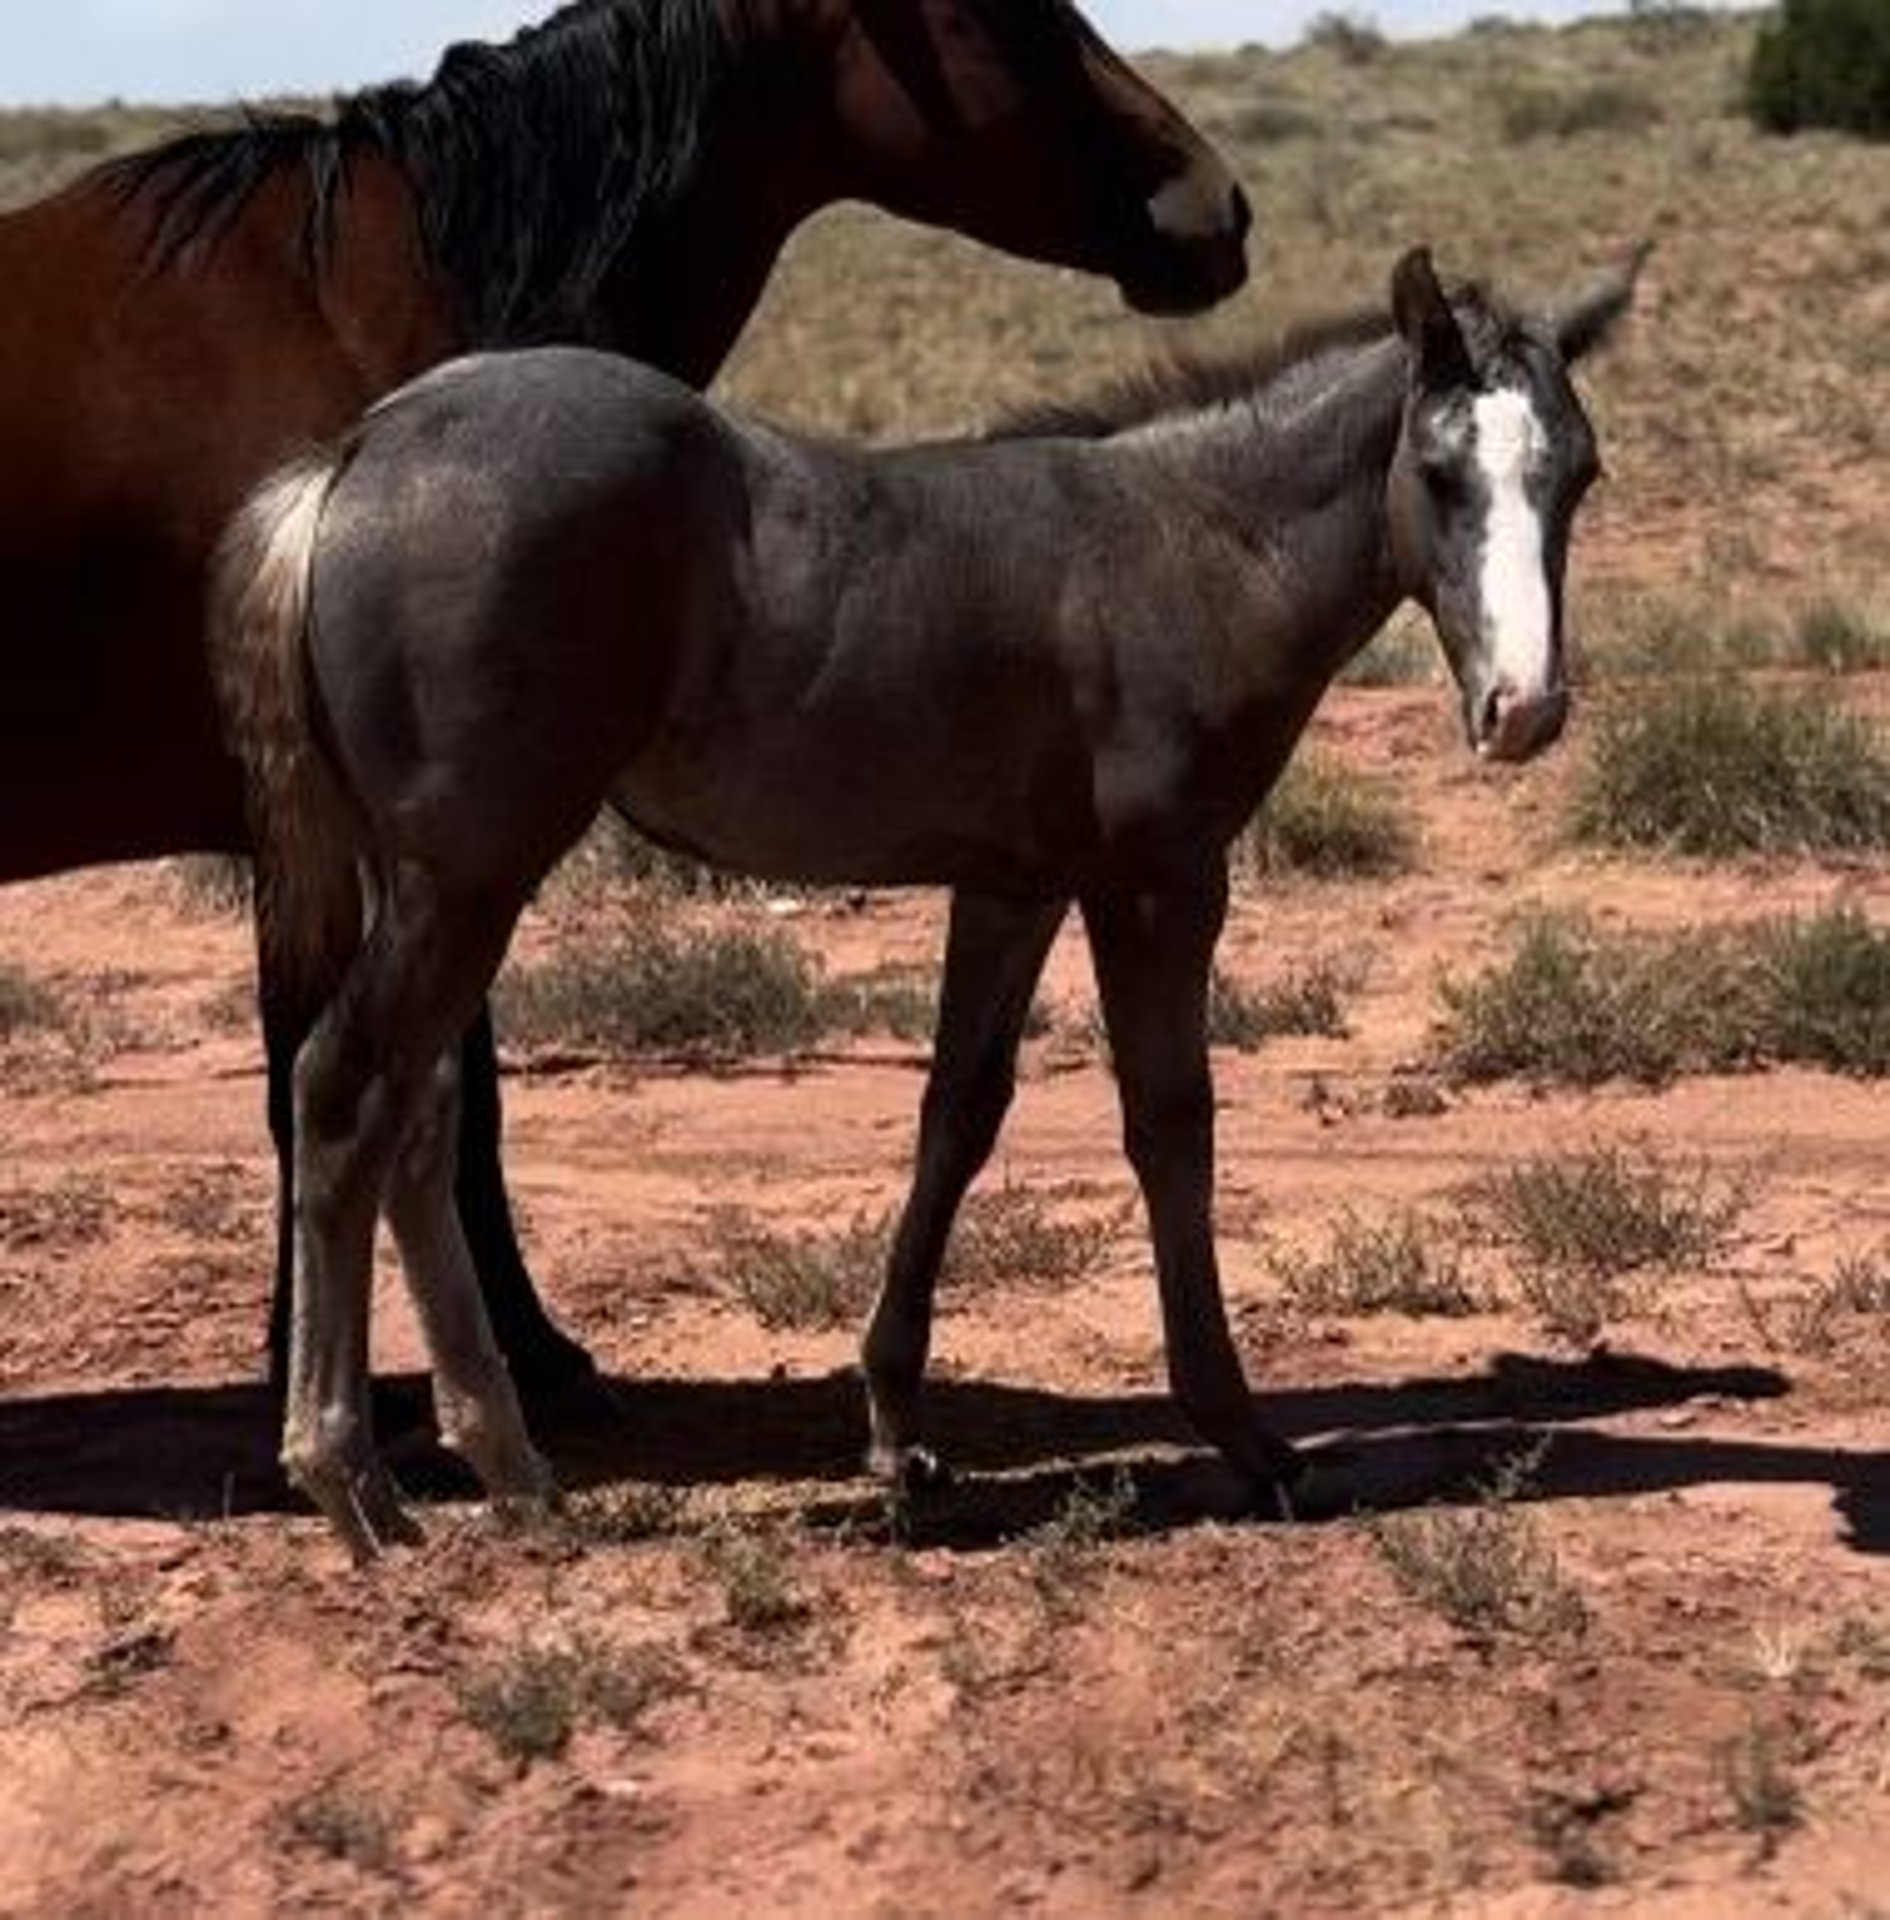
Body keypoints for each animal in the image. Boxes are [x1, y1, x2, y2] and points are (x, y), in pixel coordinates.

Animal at [207, 241, 1642, 1559]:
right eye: (1442, 474)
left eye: (1575, 474)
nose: (1525, 711)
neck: (1195, 546)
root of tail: (361, 451)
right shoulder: (1159, 880)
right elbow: (1170, 1123)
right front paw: (1244, 1435)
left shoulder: (1011, 888)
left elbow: (959, 1112)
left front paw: (899, 1431)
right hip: (468, 873)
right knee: (344, 1088)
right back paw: (350, 1477)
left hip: (442, 881)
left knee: (417, 1116)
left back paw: (506, 1466)